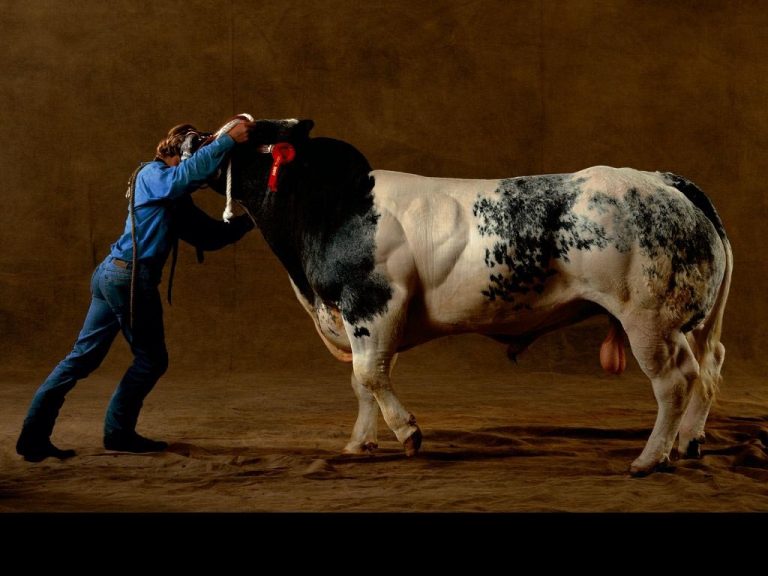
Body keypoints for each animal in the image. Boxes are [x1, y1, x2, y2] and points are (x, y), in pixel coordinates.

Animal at [210, 117, 732, 476]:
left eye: (240, 135)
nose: (192, 138)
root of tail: (661, 179)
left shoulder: (372, 303)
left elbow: (370, 375)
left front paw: (409, 433)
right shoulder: (371, 319)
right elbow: (363, 381)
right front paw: (360, 444)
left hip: (650, 318)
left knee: (675, 381)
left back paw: (650, 458)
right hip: (693, 322)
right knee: (708, 370)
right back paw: (688, 443)